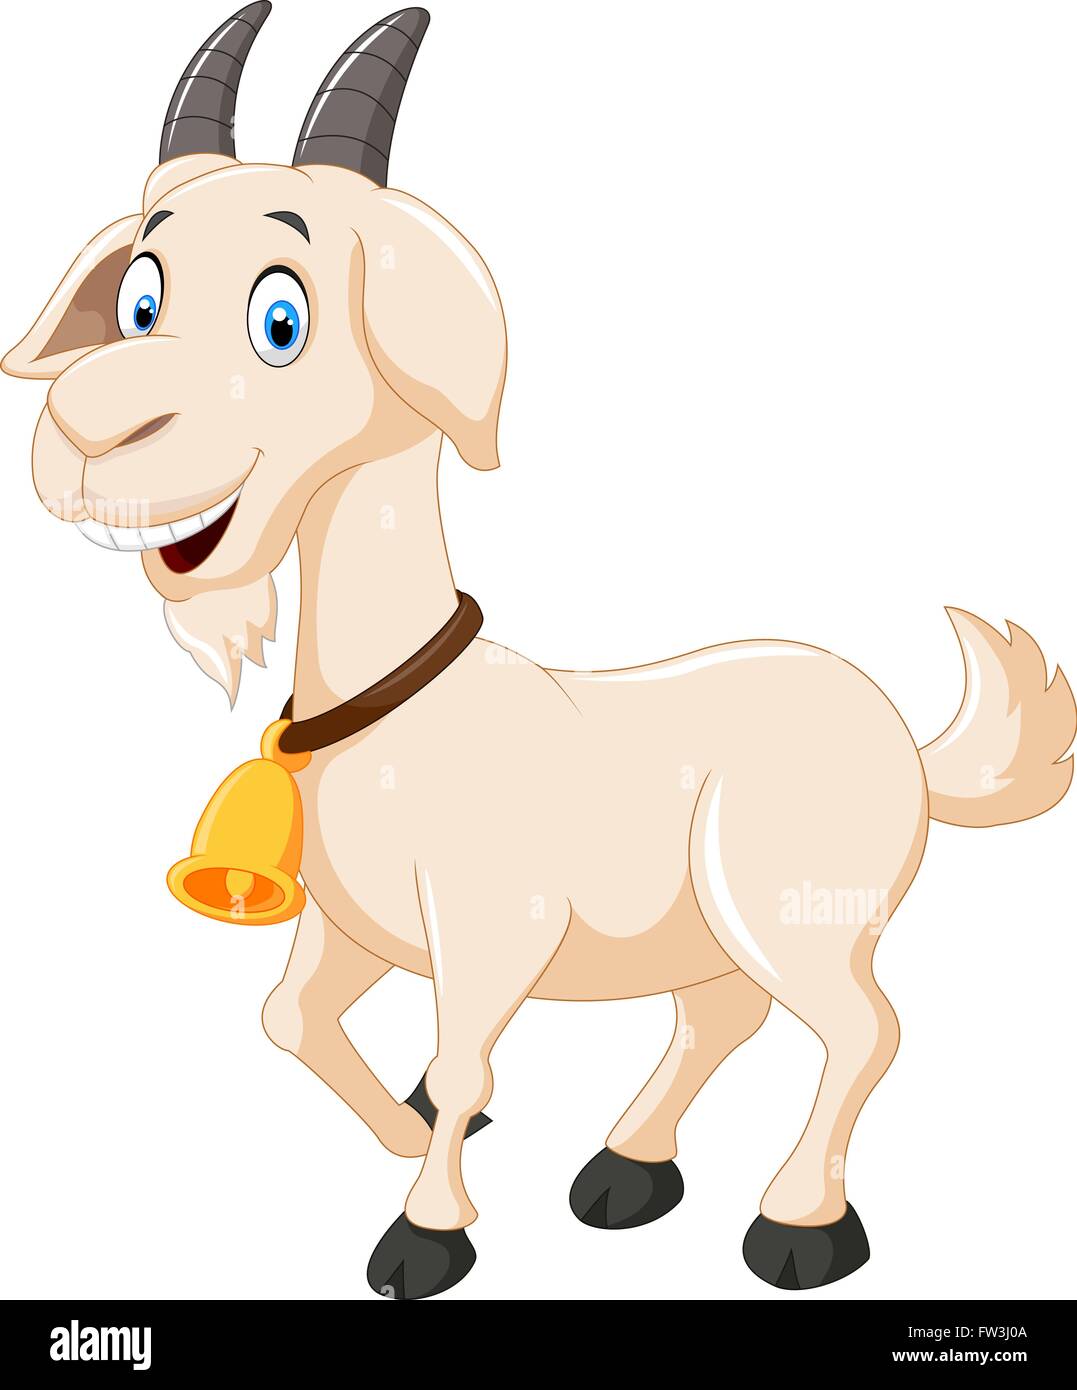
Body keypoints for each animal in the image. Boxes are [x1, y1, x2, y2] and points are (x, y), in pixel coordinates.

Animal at [4, 5, 1074, 1300]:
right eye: (140, 300)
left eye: (282, 318)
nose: (85, 438)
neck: (395, 716)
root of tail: (910, 747)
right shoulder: (351, 928)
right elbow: (293, 1020)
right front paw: (418, 1136)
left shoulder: (489, 930)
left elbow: (459, 1056)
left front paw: (427, 1231)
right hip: (710, 930)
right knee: (720, 1020)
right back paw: (627, 1169)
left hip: (794, 909)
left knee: (865, 1028)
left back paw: (800, 1225)